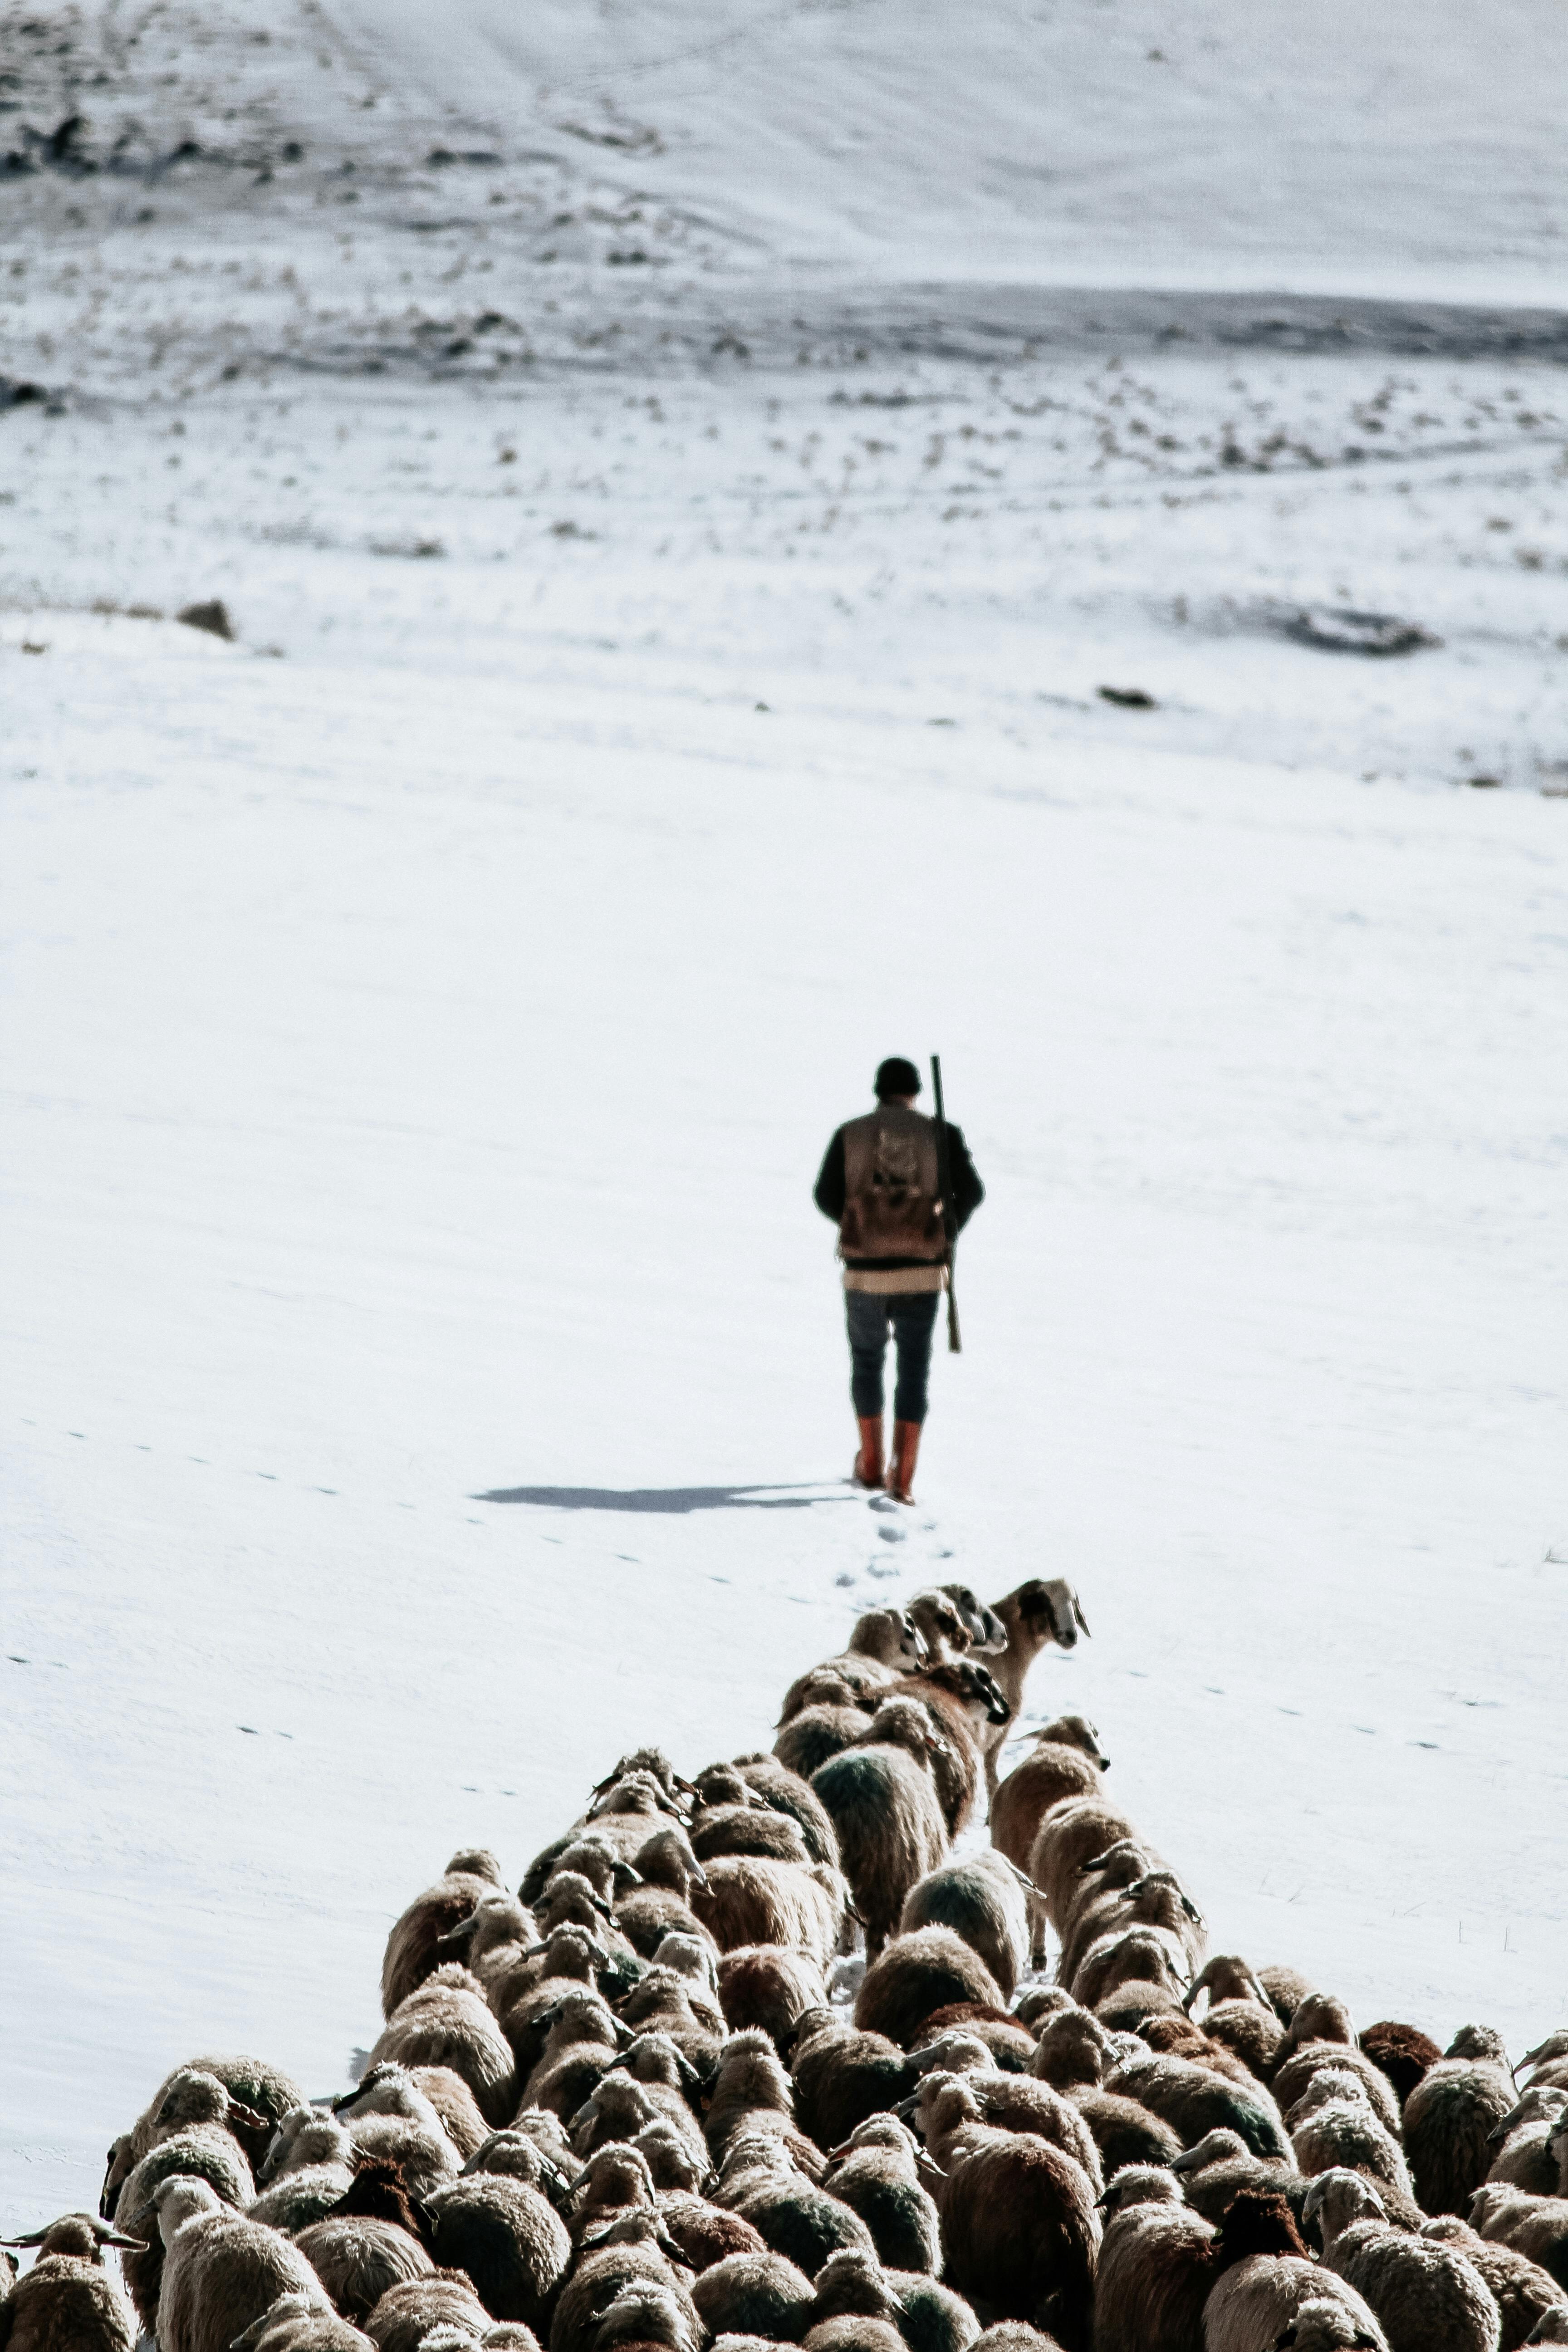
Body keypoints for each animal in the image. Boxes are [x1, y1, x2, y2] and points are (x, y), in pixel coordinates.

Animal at [811, 1705, 952, 1961]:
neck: (895, 1742)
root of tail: (847, 1805)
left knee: (845, 1919)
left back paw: (847, 1951)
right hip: (886, 1878)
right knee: (875, 1937)